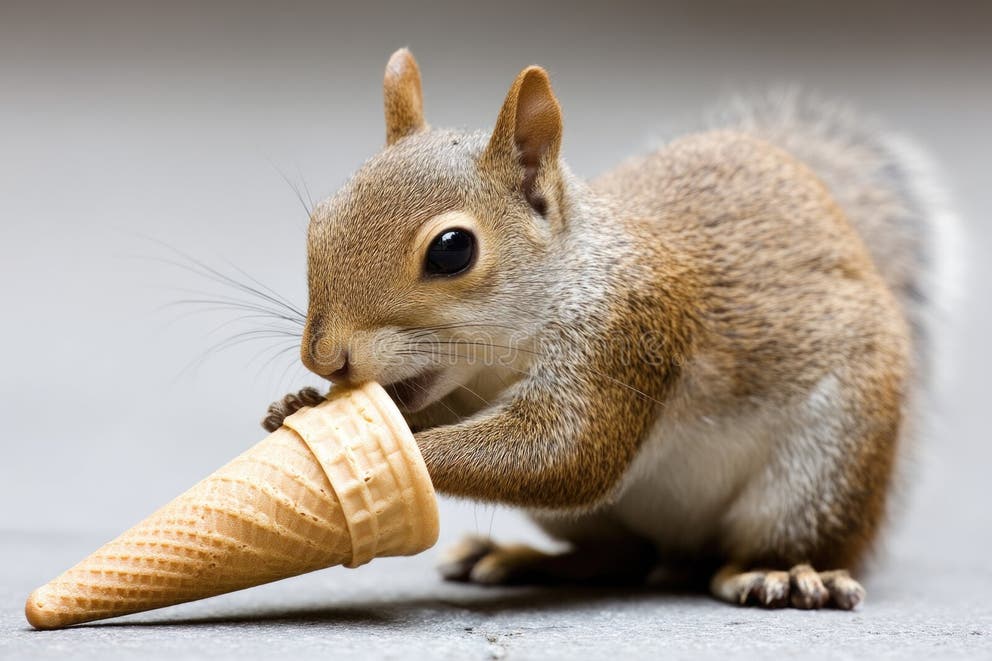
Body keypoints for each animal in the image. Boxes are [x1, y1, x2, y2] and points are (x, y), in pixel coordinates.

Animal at [262, 48, 951, 610]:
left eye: (452, 250)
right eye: (320, 221)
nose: (324, 357)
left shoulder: (625, 337)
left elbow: (562, 453)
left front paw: (401, 458)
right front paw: (298, 406)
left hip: (822, 472)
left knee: (774, 543)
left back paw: (779, 573)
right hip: (598, 522)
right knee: (624, 557)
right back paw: (519, 560)